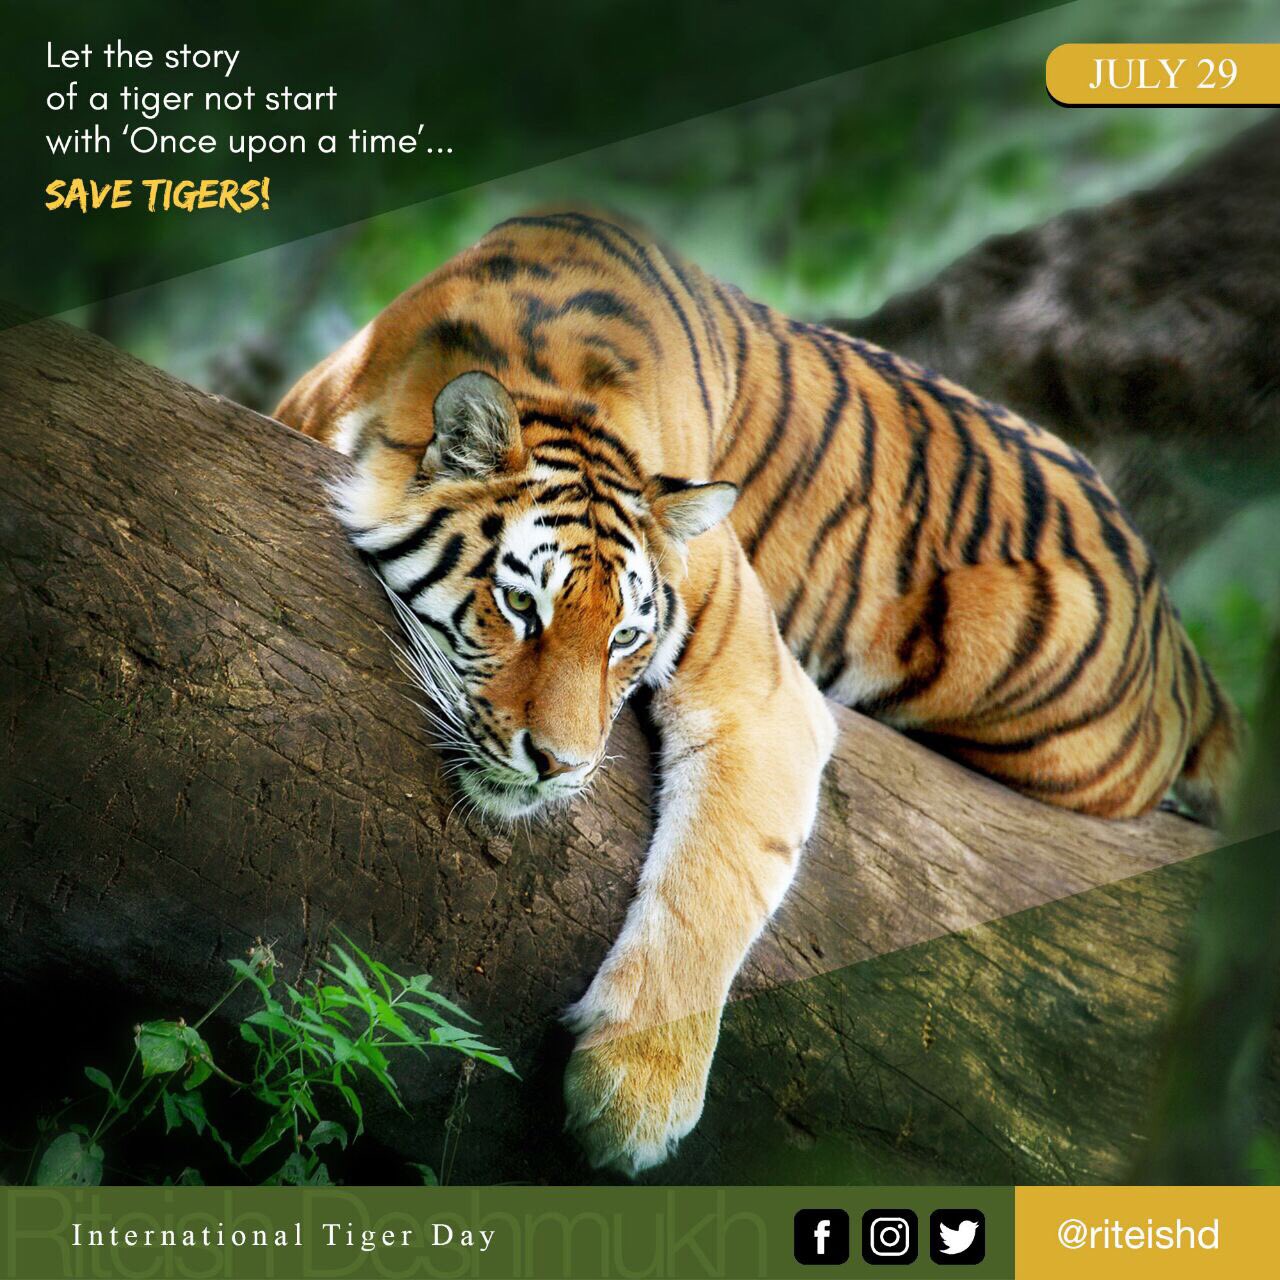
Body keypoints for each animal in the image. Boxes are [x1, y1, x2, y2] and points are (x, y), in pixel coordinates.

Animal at [275, 208, 1242, 1176]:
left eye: (624, 638)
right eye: (521, 607)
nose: (560, 766)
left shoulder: (762, 690)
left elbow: (718, 875)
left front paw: (636, 1100)